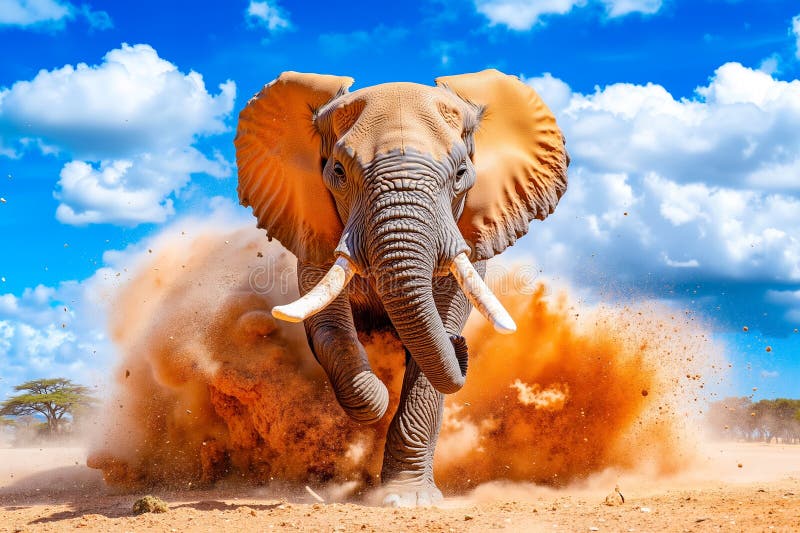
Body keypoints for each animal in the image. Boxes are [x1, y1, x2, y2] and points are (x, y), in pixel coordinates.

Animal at [234, 69, 568, 506]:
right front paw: (374, 397)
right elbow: (327, 323)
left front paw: (405, 499)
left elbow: (440, 325)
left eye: (460, 174)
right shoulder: (311, 225)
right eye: (338, 171)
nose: (462, 348)